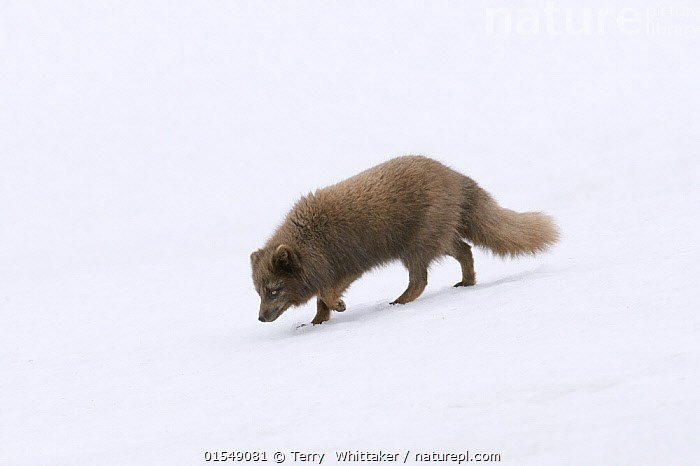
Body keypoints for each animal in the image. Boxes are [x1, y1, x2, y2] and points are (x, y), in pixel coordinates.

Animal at [251, 155, 559, 325]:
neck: (312, 240)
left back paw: (398, 303)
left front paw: (339, 307)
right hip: (438, 238)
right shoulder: (325, 271)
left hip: (417, 246)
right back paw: (466, 283)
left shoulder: (347, 266)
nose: (261, 317)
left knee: (420, 280)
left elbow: (326, 295)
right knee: (465, 250)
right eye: (259, 292)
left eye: (274, 290)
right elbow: (320, 301)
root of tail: (458, 177)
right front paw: (316, 323)